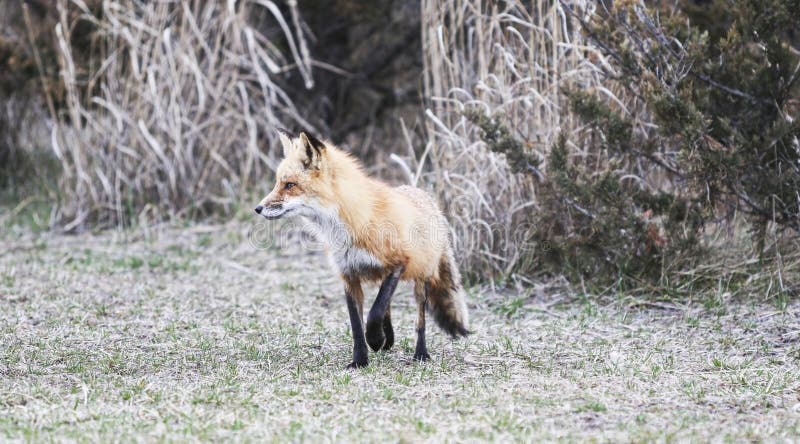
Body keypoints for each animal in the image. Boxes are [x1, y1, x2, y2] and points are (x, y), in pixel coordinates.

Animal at [255, 129, 470, 368]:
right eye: (277, 183)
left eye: (290, 185)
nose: (258, 208)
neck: (351, 225)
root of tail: (426, 198)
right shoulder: (349, 274)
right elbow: (357, 324)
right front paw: (360, 359)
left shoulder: (398, 263)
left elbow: (375, 312)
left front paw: (374, 339)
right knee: (388, 305)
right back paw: (388, 338)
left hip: (421, 279)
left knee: (418, 320)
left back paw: (420, 353)